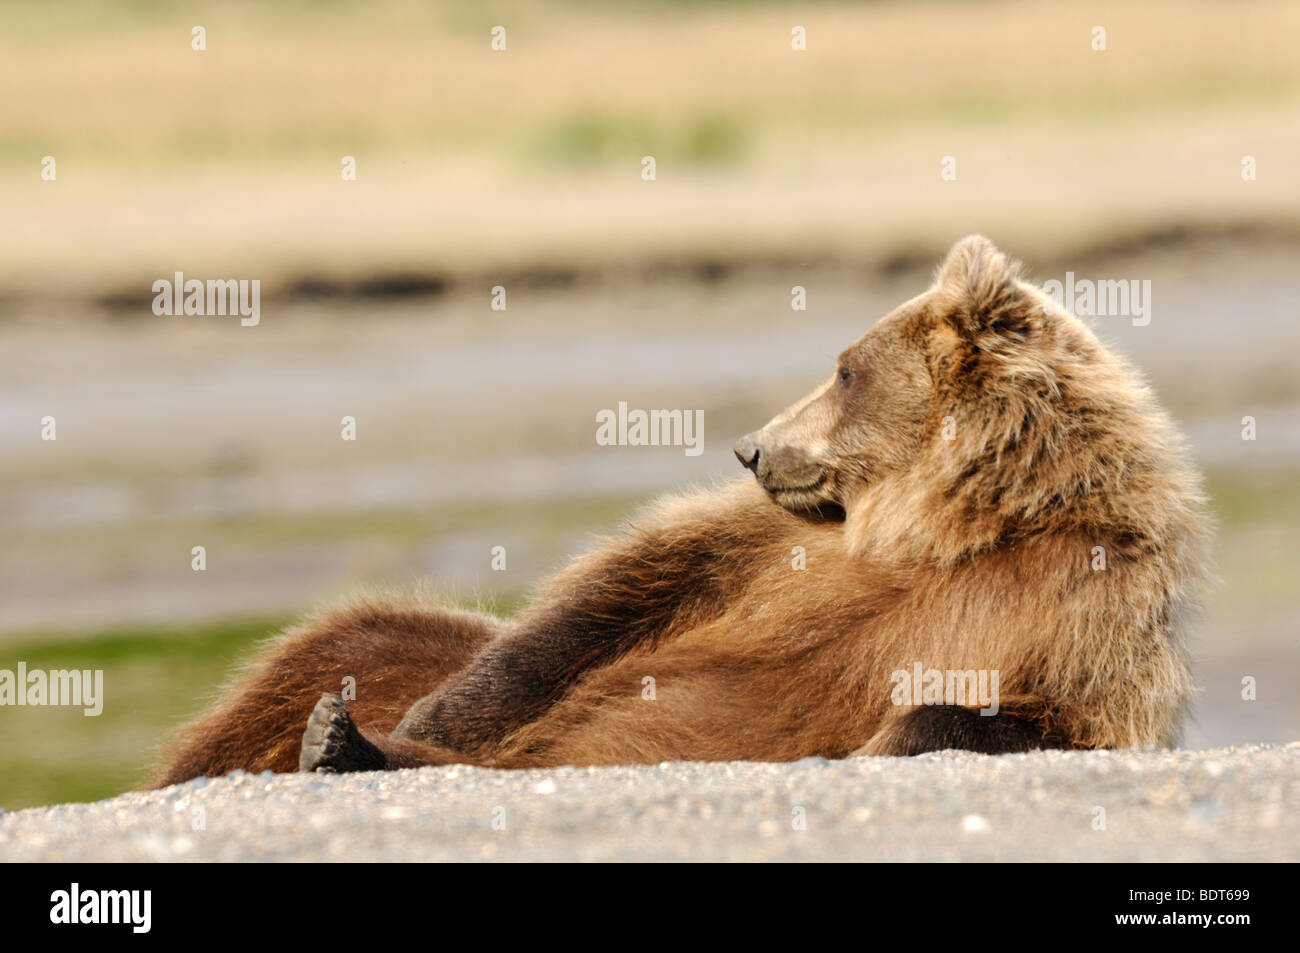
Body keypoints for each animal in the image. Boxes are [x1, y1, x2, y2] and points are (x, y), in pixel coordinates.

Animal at [149, 235, 1209, 787]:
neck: (952, 520)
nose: (752, 447)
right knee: (344, 641)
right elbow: (632, 581)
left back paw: (350, 747)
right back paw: (328, 733)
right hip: (387, 645)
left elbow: (1054, 715)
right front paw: (428, 714)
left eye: (843, 369)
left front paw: (885, 736)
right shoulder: (776, 547)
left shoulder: (1080, 602)